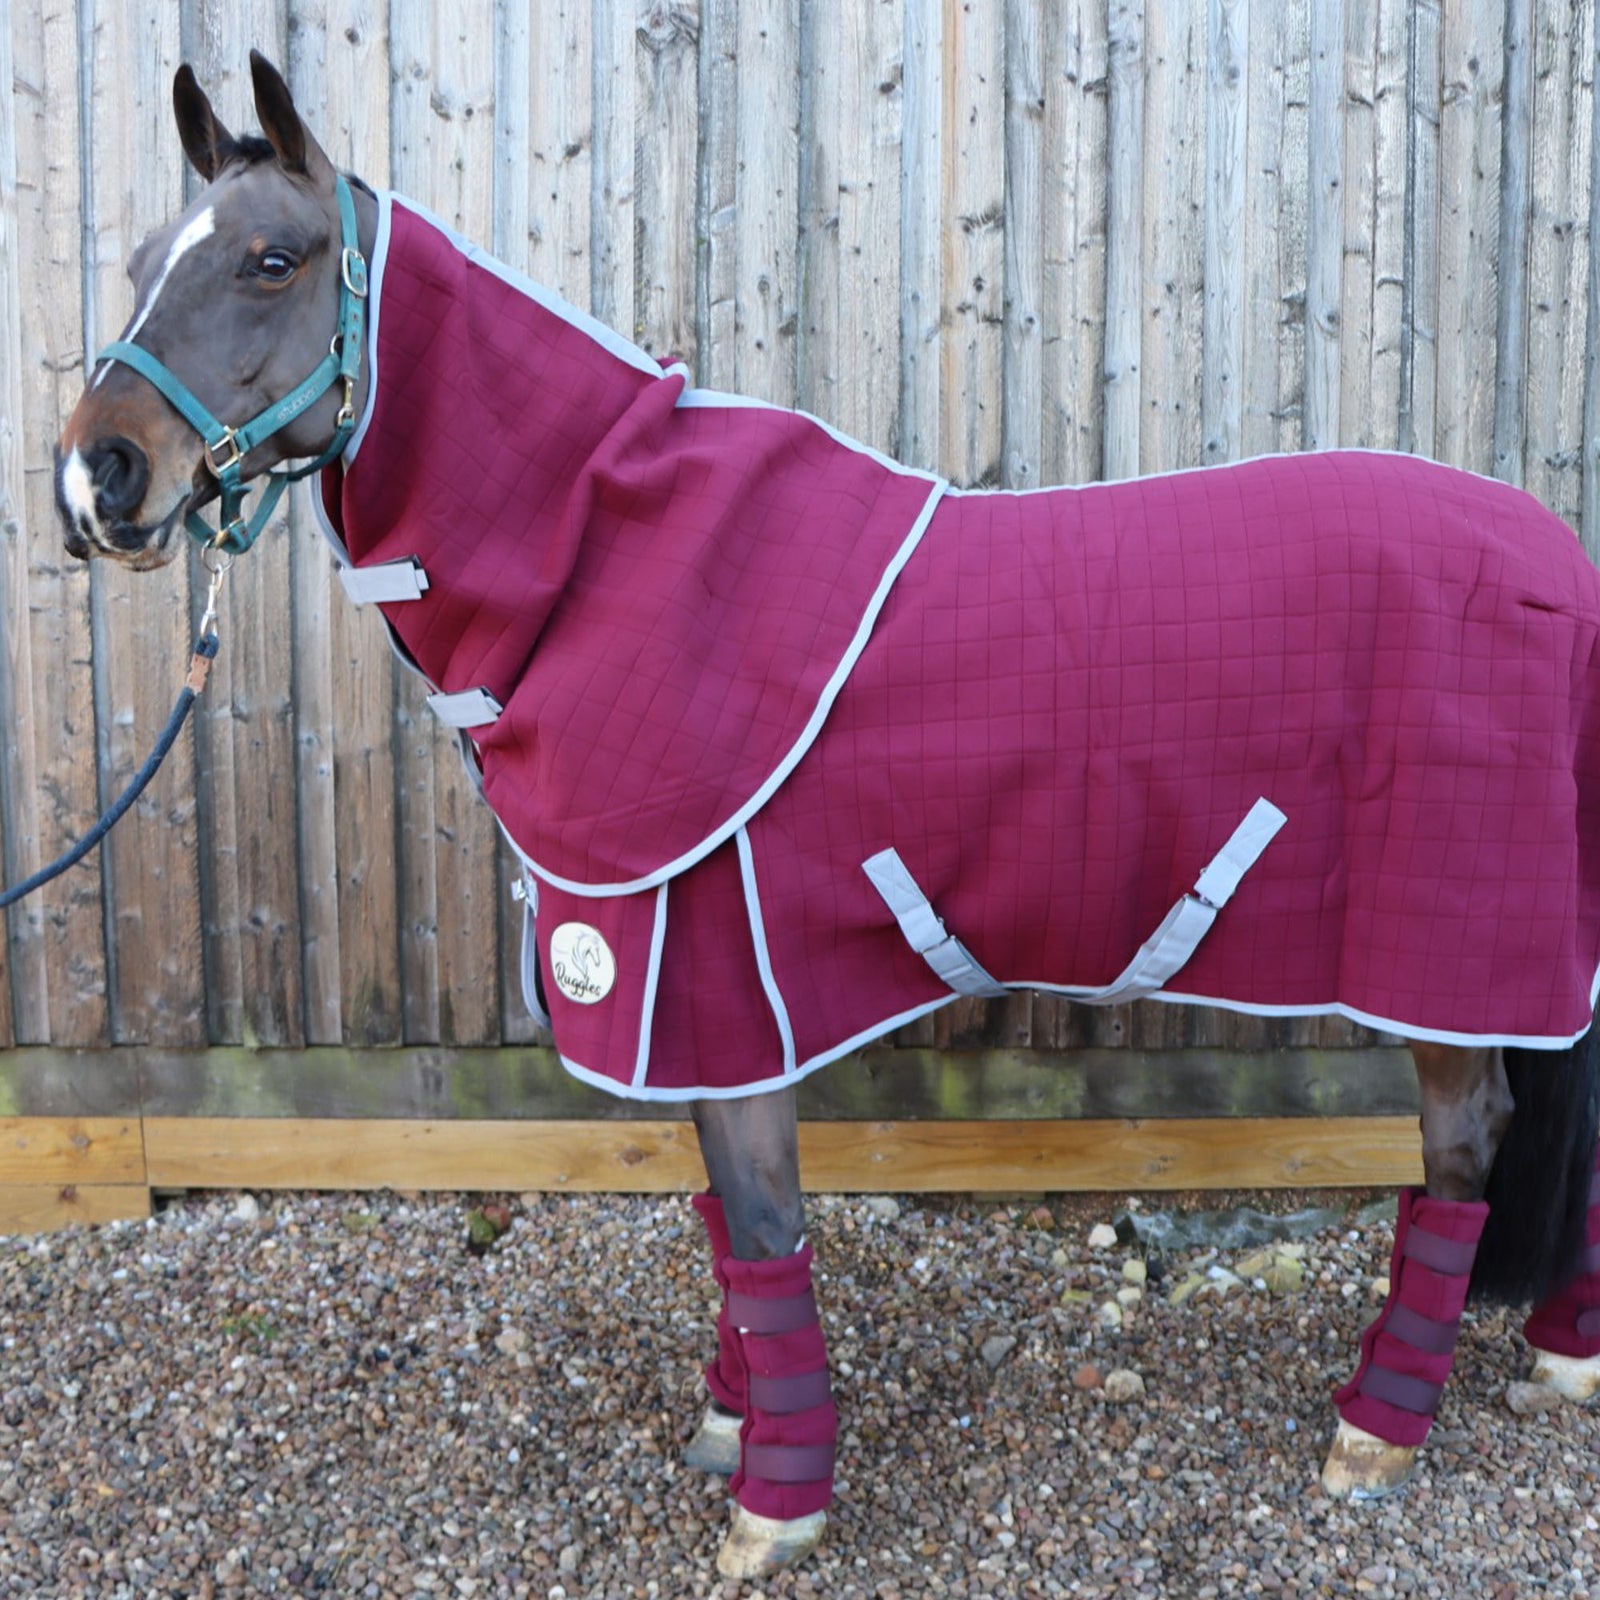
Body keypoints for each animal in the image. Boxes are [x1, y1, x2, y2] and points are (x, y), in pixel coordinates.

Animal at [53, 53, 1600, 1580]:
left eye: (273, 258)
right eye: (137, 261)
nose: (97, 478)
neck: (608, 564)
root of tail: (1556, 564)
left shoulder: (723, 995)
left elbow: (760, 1225)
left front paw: (775, 1502)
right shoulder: (678, 1000)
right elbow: (719, 1228)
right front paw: (734, 1428)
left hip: (1444, 951)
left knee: (1465, 1144)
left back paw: (1377, 1433)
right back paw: (1560, 1360)